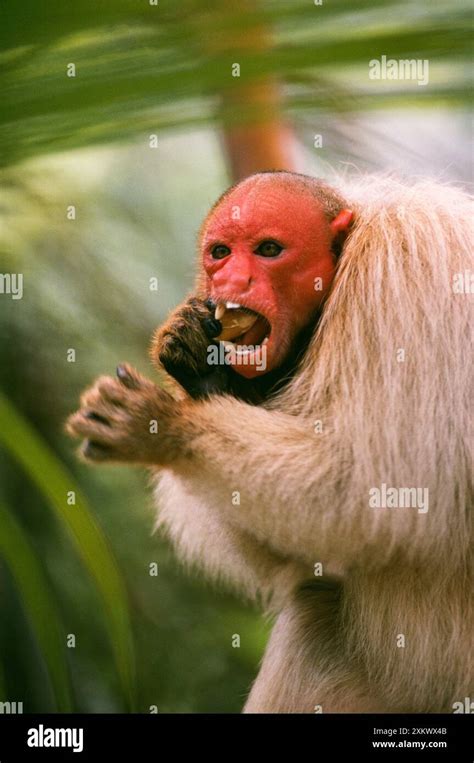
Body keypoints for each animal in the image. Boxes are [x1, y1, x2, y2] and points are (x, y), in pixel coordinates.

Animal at [66, 171, 473, 713]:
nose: (232, 282)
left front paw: (167, 427)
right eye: (220, 252)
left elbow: (368, 487)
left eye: (269, 250)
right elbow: (300, 549)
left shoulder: (408, 271)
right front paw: (198, 372)